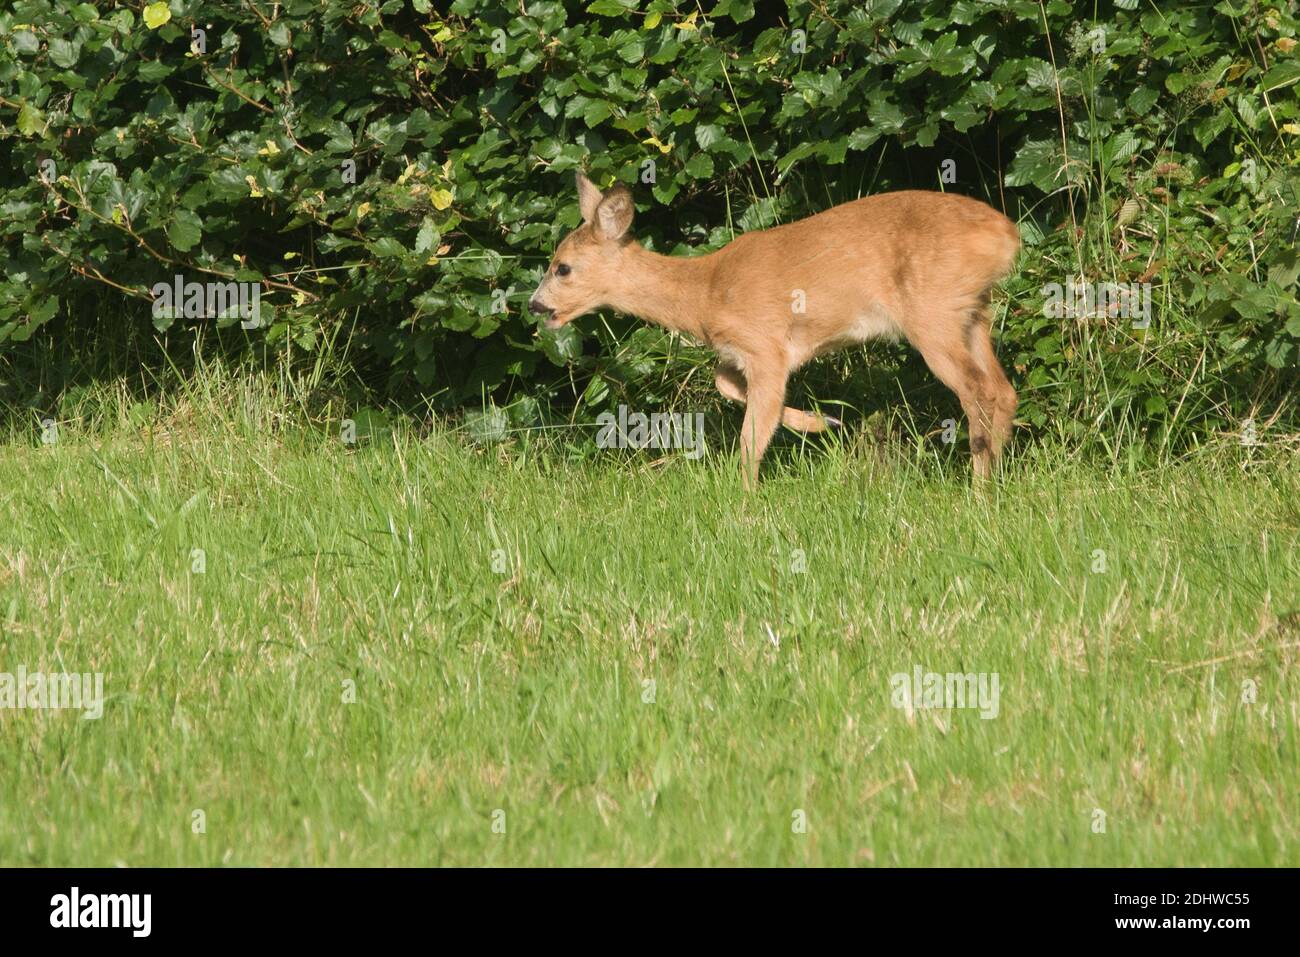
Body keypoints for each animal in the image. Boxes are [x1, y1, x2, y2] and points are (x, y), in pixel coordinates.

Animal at [529, 172, 1021, 488]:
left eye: (562, 267)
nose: (536, 306)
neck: (705, 293)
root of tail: (1006, 235)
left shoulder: (766, 346)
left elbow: (751, 435)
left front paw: (744, 500)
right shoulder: (746, 352)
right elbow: (727, 385)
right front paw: (821, 422)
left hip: (933, 313)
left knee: (979, 390)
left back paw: (979, 489)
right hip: (973, 312)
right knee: (1004, 389)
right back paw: (995, 479)